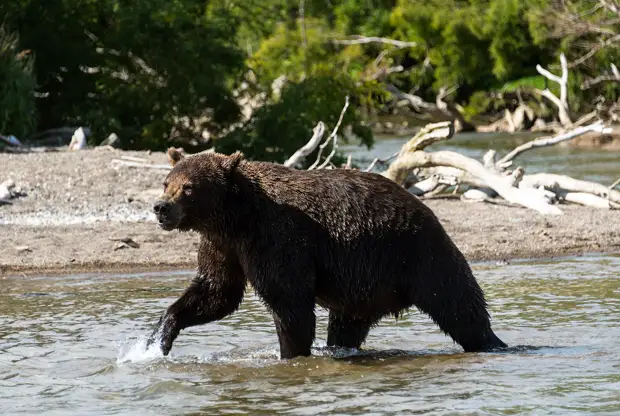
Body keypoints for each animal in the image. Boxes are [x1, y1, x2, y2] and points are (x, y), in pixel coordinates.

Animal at [148, 148, 506, 360]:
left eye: (188, 187)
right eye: (167, 182)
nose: (161, 207)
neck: (236, 216)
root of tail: (428, 211)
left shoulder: (277, 238)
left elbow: (290, 303)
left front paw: (290, 355)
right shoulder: (223, 245)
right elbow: (216, 291)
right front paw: (159, 337)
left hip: (417, 255)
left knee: (458, 306)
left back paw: (492, 343)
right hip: (365, 285)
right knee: (347, 323)